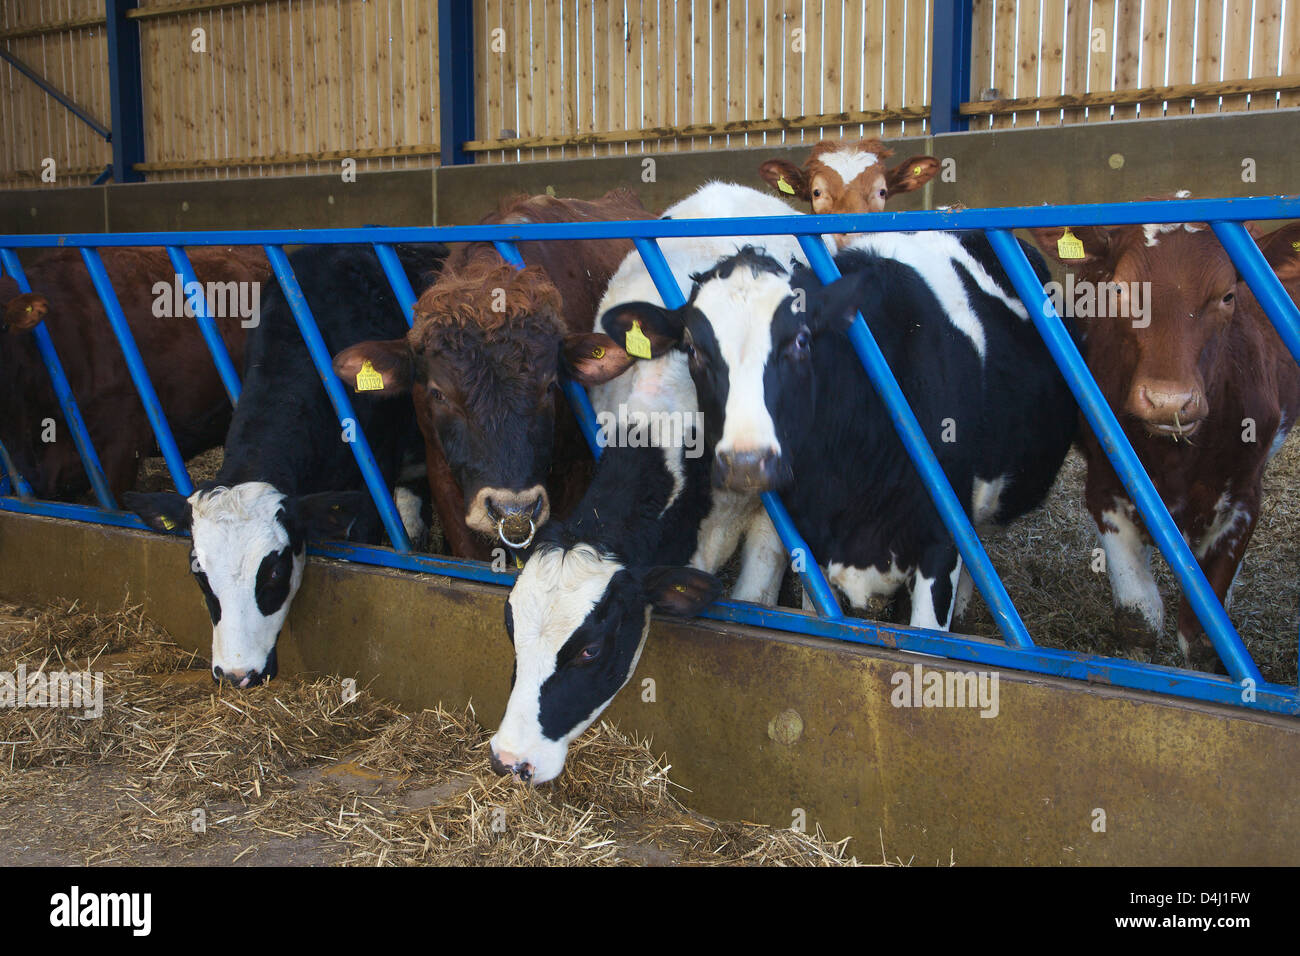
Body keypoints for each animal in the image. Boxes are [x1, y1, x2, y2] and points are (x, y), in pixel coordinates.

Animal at [1029, 199, 1300, 671]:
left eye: (1228, 296)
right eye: (1119, 290)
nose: (1168, 401)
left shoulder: (1244, 495)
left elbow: (1202, 635)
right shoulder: (1105, 486)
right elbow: (1139, 621)